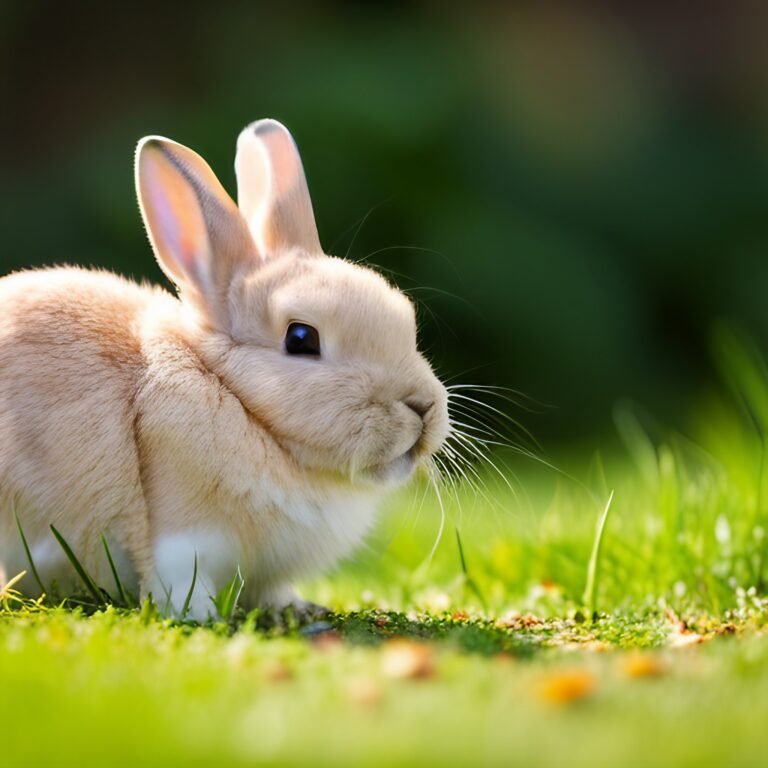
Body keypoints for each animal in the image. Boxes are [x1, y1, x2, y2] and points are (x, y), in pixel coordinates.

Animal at [0, 119, 450, 620]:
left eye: (406, 316)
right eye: (301, 338)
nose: (422, 407)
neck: (232, 394)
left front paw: (297, 608)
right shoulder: (180, 533)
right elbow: (178, 580)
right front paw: (200, 617)